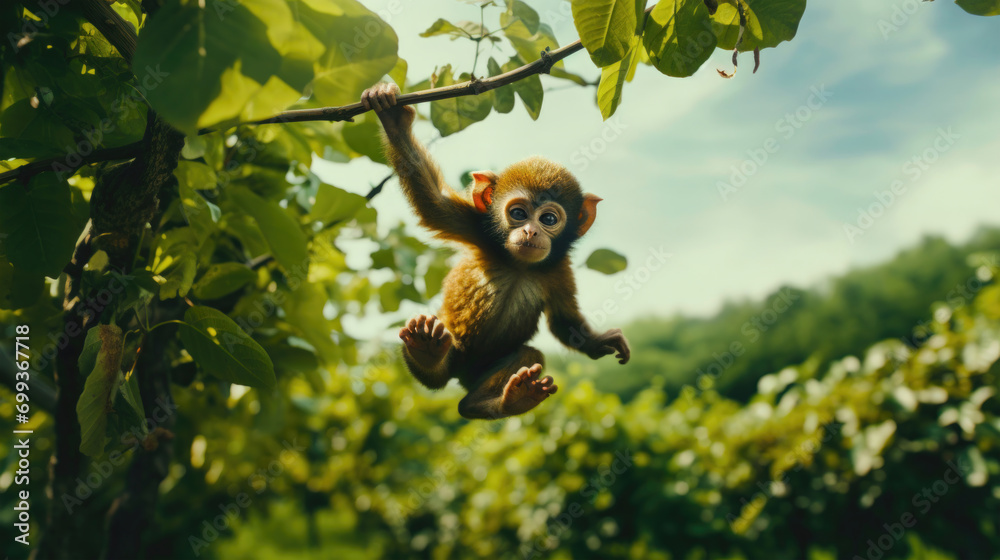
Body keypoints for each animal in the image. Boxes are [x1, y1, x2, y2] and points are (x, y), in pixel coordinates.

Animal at [361, 82, 630, 420]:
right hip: (452, 353)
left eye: (548, 220)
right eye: (518, 213)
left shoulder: (559, 268)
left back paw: (501, 401)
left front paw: (598, 343)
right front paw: (394, 118)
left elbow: (564, 321)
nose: (530, 231)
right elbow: (433, 204)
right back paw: (427, 350)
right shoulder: (479, 227)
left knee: (527, 354)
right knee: (435, 373)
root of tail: (462, 379)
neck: (518, 265)